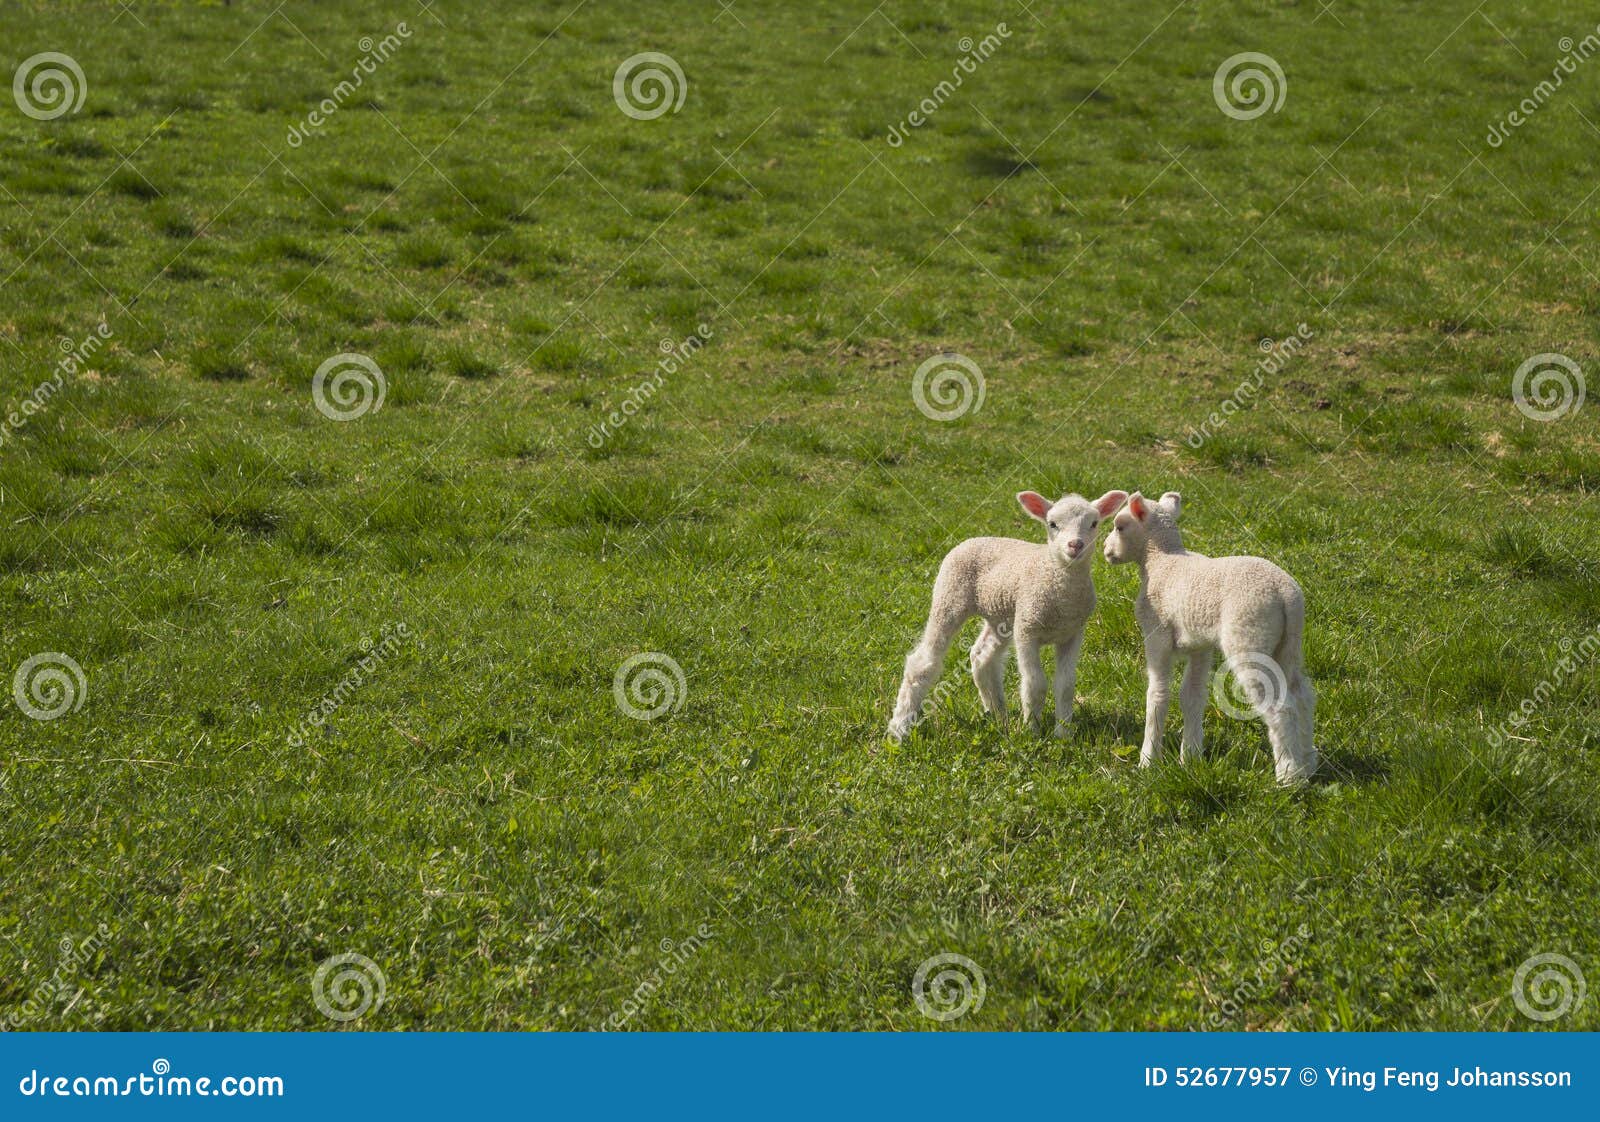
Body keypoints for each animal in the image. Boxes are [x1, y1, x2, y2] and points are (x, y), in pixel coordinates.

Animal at [887, 489, 1128, 741]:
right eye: (1052, 524)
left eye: (1094, 523)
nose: (1075, 545)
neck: (1060, 589)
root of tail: (975, 538)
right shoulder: (1026, 629)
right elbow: (1035, 684)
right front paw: (1032, 732)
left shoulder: (1072, 633)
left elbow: (1065, 686)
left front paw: (1063, 734)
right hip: (950, 595)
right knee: (922, 662)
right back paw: (900, 727)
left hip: (1000, 615)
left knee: (981, 656)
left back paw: (996, 713)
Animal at [1102, 491, 1317, 784]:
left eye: (1119, 526)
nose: (1105, 550)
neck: (1162, 559)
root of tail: (1285, 594)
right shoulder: (1199, 645)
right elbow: (1191, 695)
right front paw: (1190, 758)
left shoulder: (1156, 633)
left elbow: (1157, 695)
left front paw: (1148, 761)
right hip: (1289, 643)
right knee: (1303, 695)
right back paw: (1308, 762)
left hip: (1248, 635)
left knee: (1280, 706)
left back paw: (1289, 775)